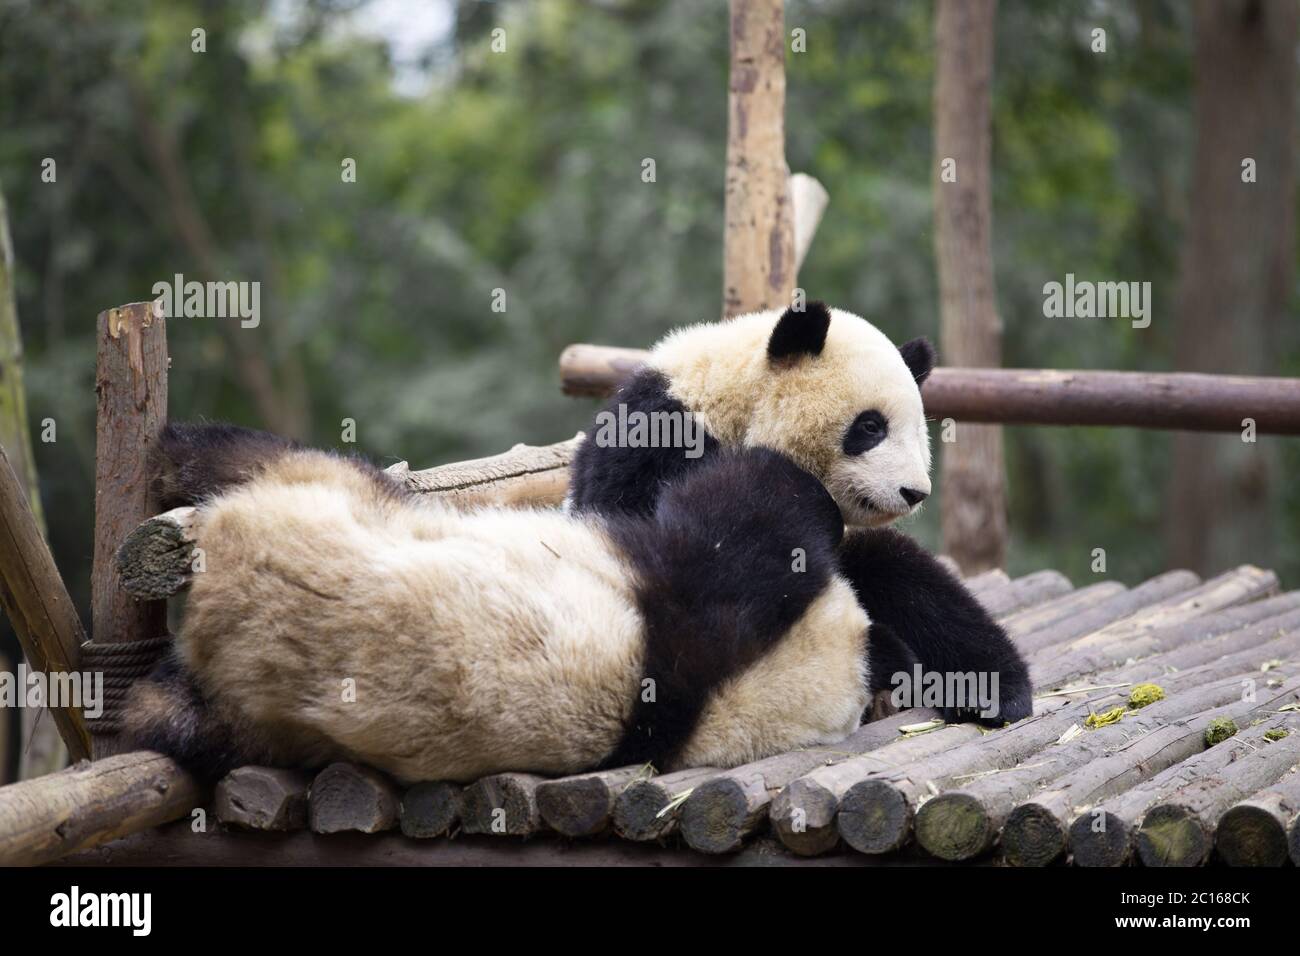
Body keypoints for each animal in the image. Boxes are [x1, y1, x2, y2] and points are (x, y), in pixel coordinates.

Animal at [567, 300, 1031, 726]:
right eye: (871, 426)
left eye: (917, 432)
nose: (913, 492)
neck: (731, 407)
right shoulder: (653, 444)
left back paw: (987, 691)